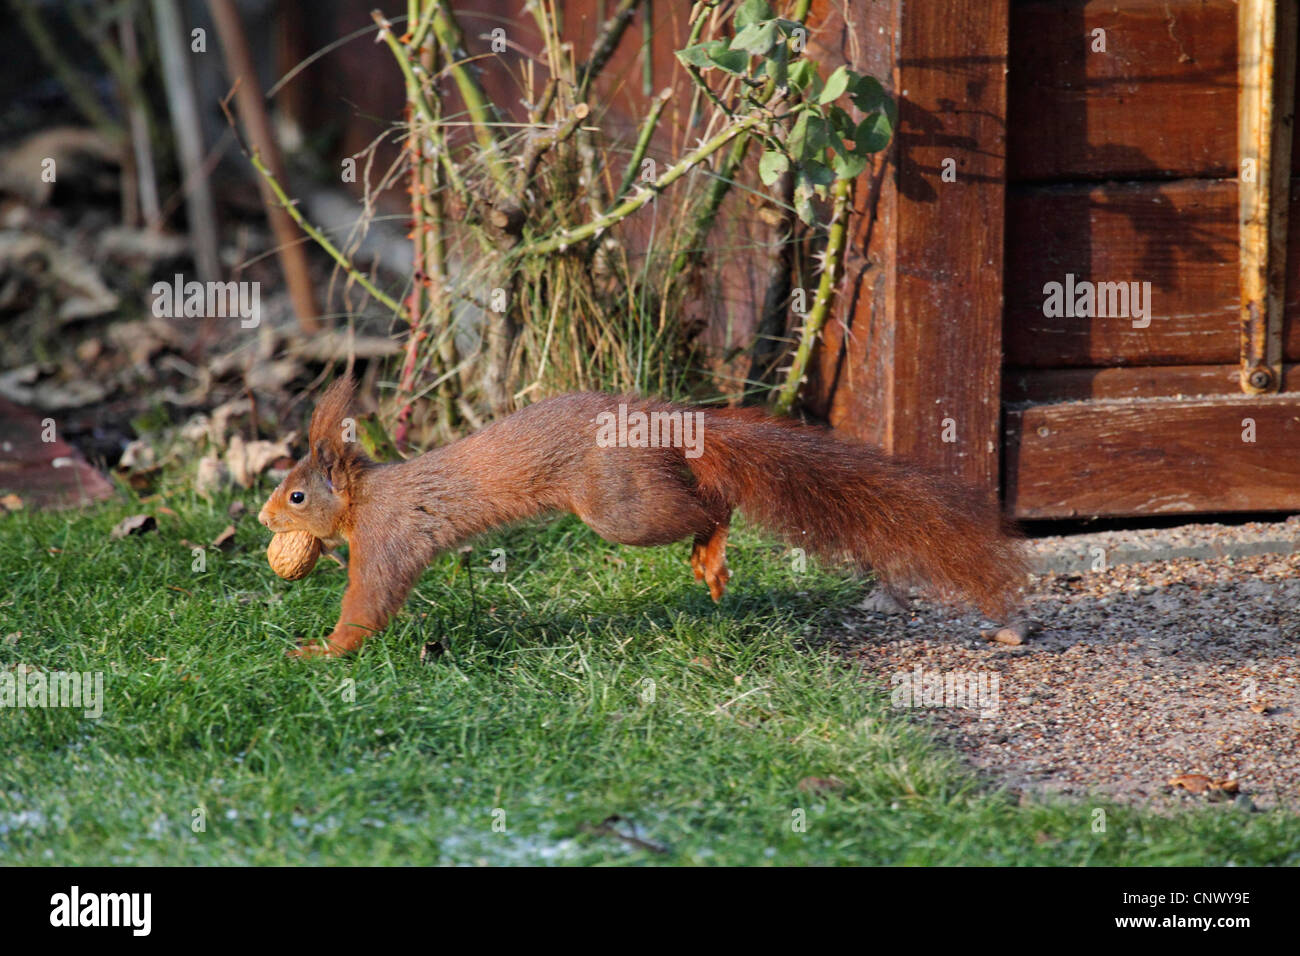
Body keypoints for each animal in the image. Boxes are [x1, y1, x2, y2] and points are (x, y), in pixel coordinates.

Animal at [258, 376, 1027, 657]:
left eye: (296, 496)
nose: (265, 519)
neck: (363, 499)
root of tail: (660, 424)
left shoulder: (388, 537)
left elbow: (368, 603)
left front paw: (320, 651)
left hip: (619, 506)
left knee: (708, 504)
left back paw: (711, 548)